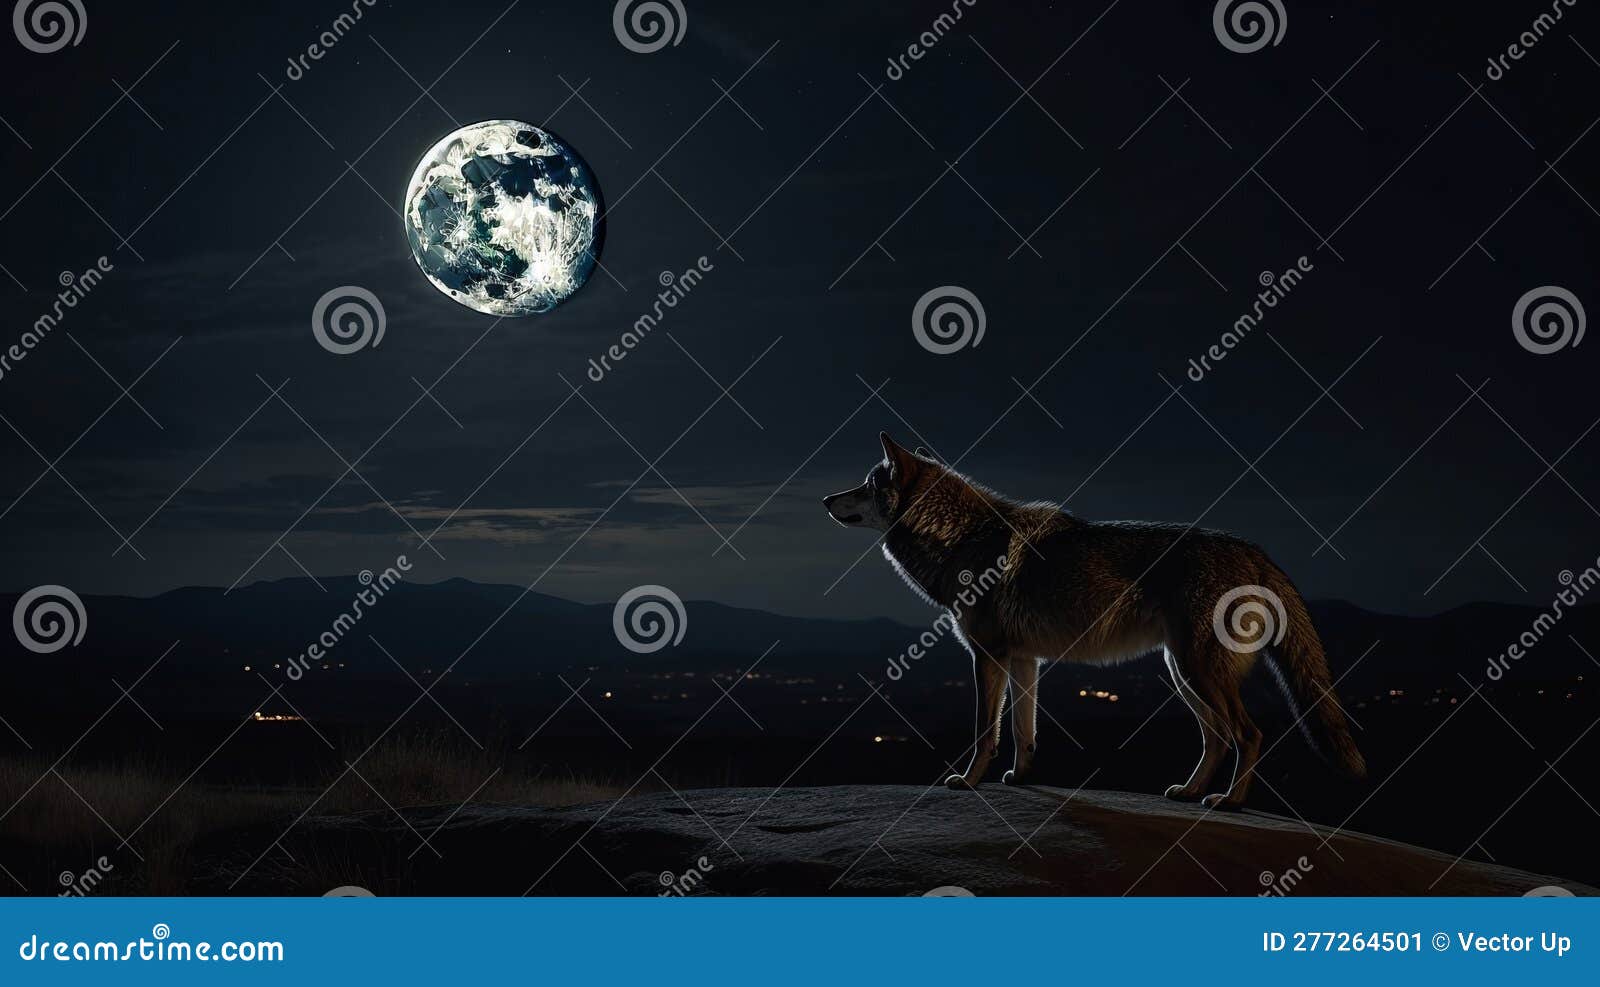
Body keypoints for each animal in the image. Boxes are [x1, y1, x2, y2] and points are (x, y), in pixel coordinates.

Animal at [823, 433, 1366, 809]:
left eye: (866, 485)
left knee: (1248, 735)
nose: (825, 500)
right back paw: (1190, 793)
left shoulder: (988, 657)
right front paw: (1021, 778)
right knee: (1216, 738)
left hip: (1197, 673)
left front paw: (968, 782)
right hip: (1182, 672)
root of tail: (1254, 551)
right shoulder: (1024, 661)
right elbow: (1023, 732)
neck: (960, 534)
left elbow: (984, 733)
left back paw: (1228, 802)